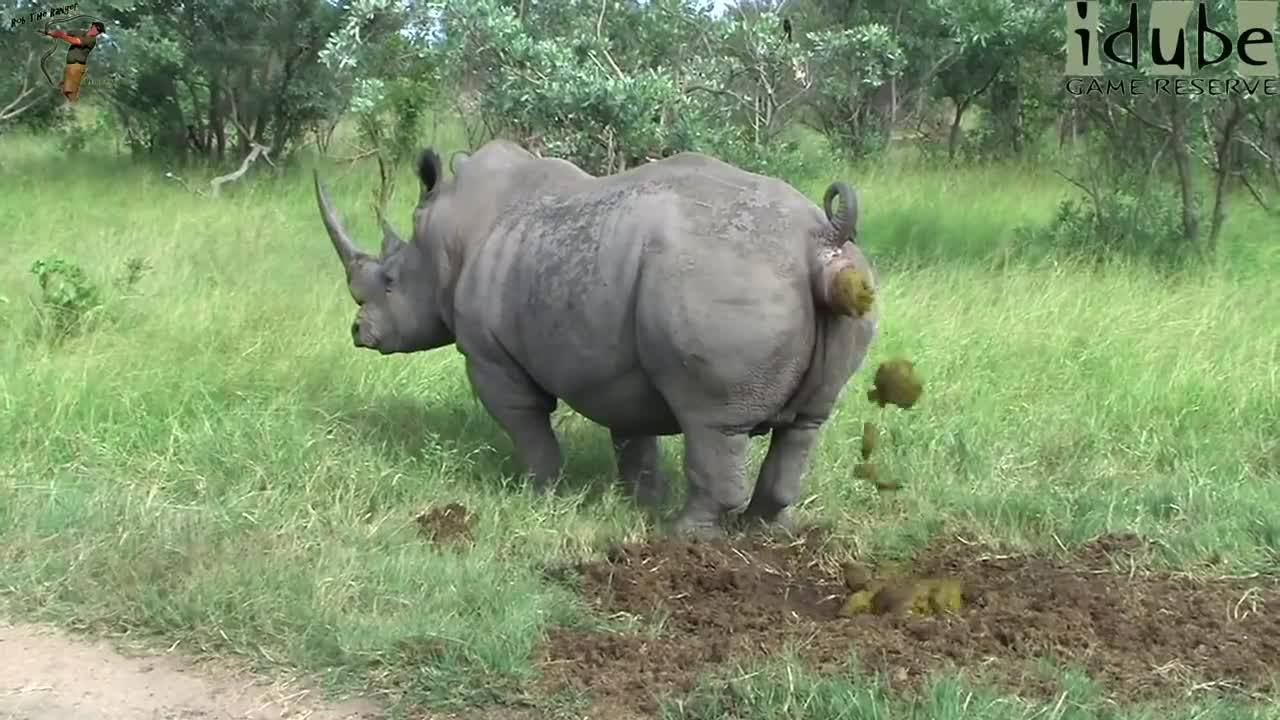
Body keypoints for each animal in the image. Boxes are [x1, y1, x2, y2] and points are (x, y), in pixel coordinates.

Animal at [313, 139, 879, 537]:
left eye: (389, 280)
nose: (359, 332)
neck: (445, 242)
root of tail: (821, 239)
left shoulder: (489, 355)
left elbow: (526, 424)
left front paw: (537, 494)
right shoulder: (616, 361)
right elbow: (632, 432)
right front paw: (638, 500)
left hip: (723, 274)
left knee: (711, 422)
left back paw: (684, 535)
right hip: (824, 281)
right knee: (805, 424)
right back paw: (766, 529)